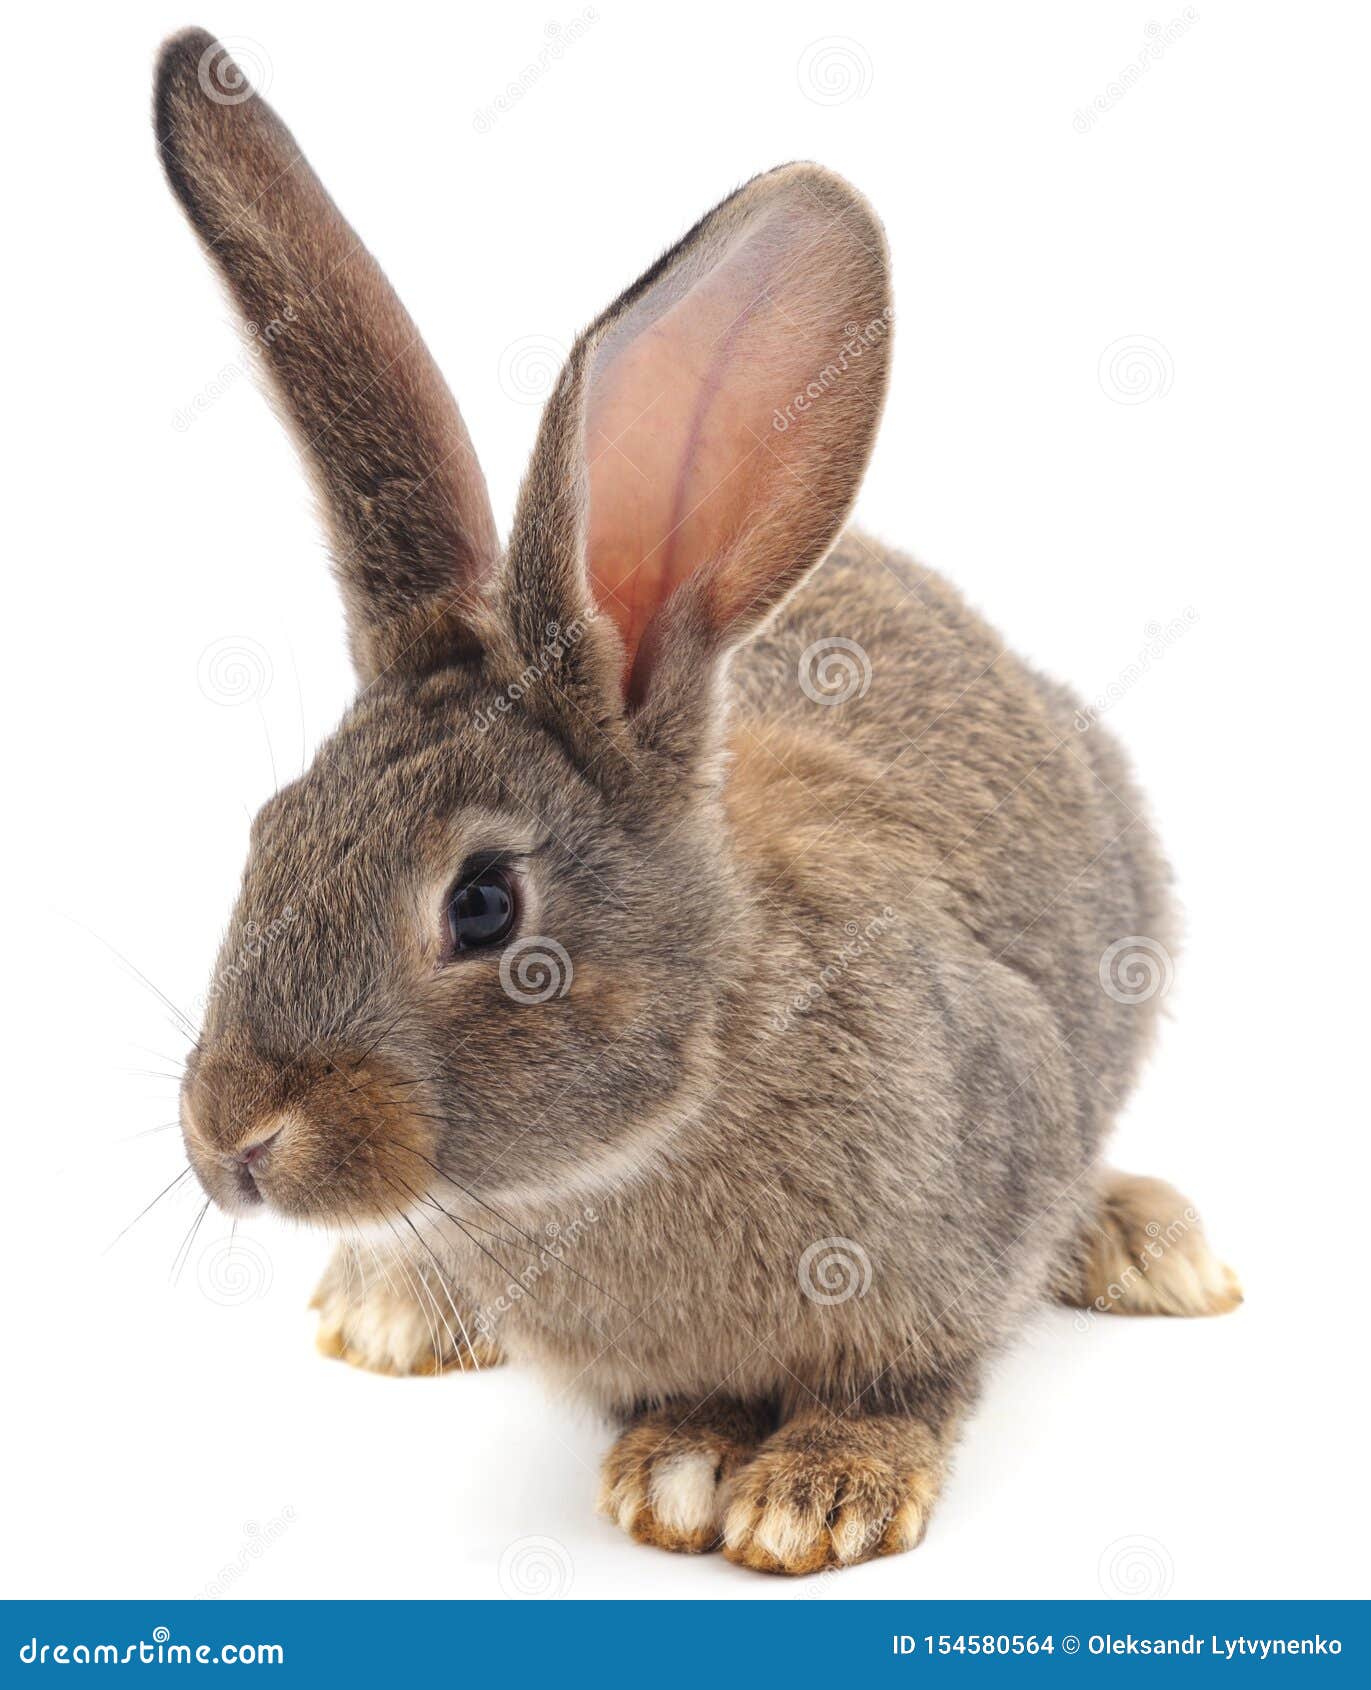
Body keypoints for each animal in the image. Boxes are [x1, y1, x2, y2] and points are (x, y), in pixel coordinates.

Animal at [157, 28, 1240, 1576]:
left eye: (483, 905)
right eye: (266, 834)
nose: (232, 1141)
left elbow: (910, 1380)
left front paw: (816, 1496)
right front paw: (676, 1466)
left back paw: (1143, 1241)